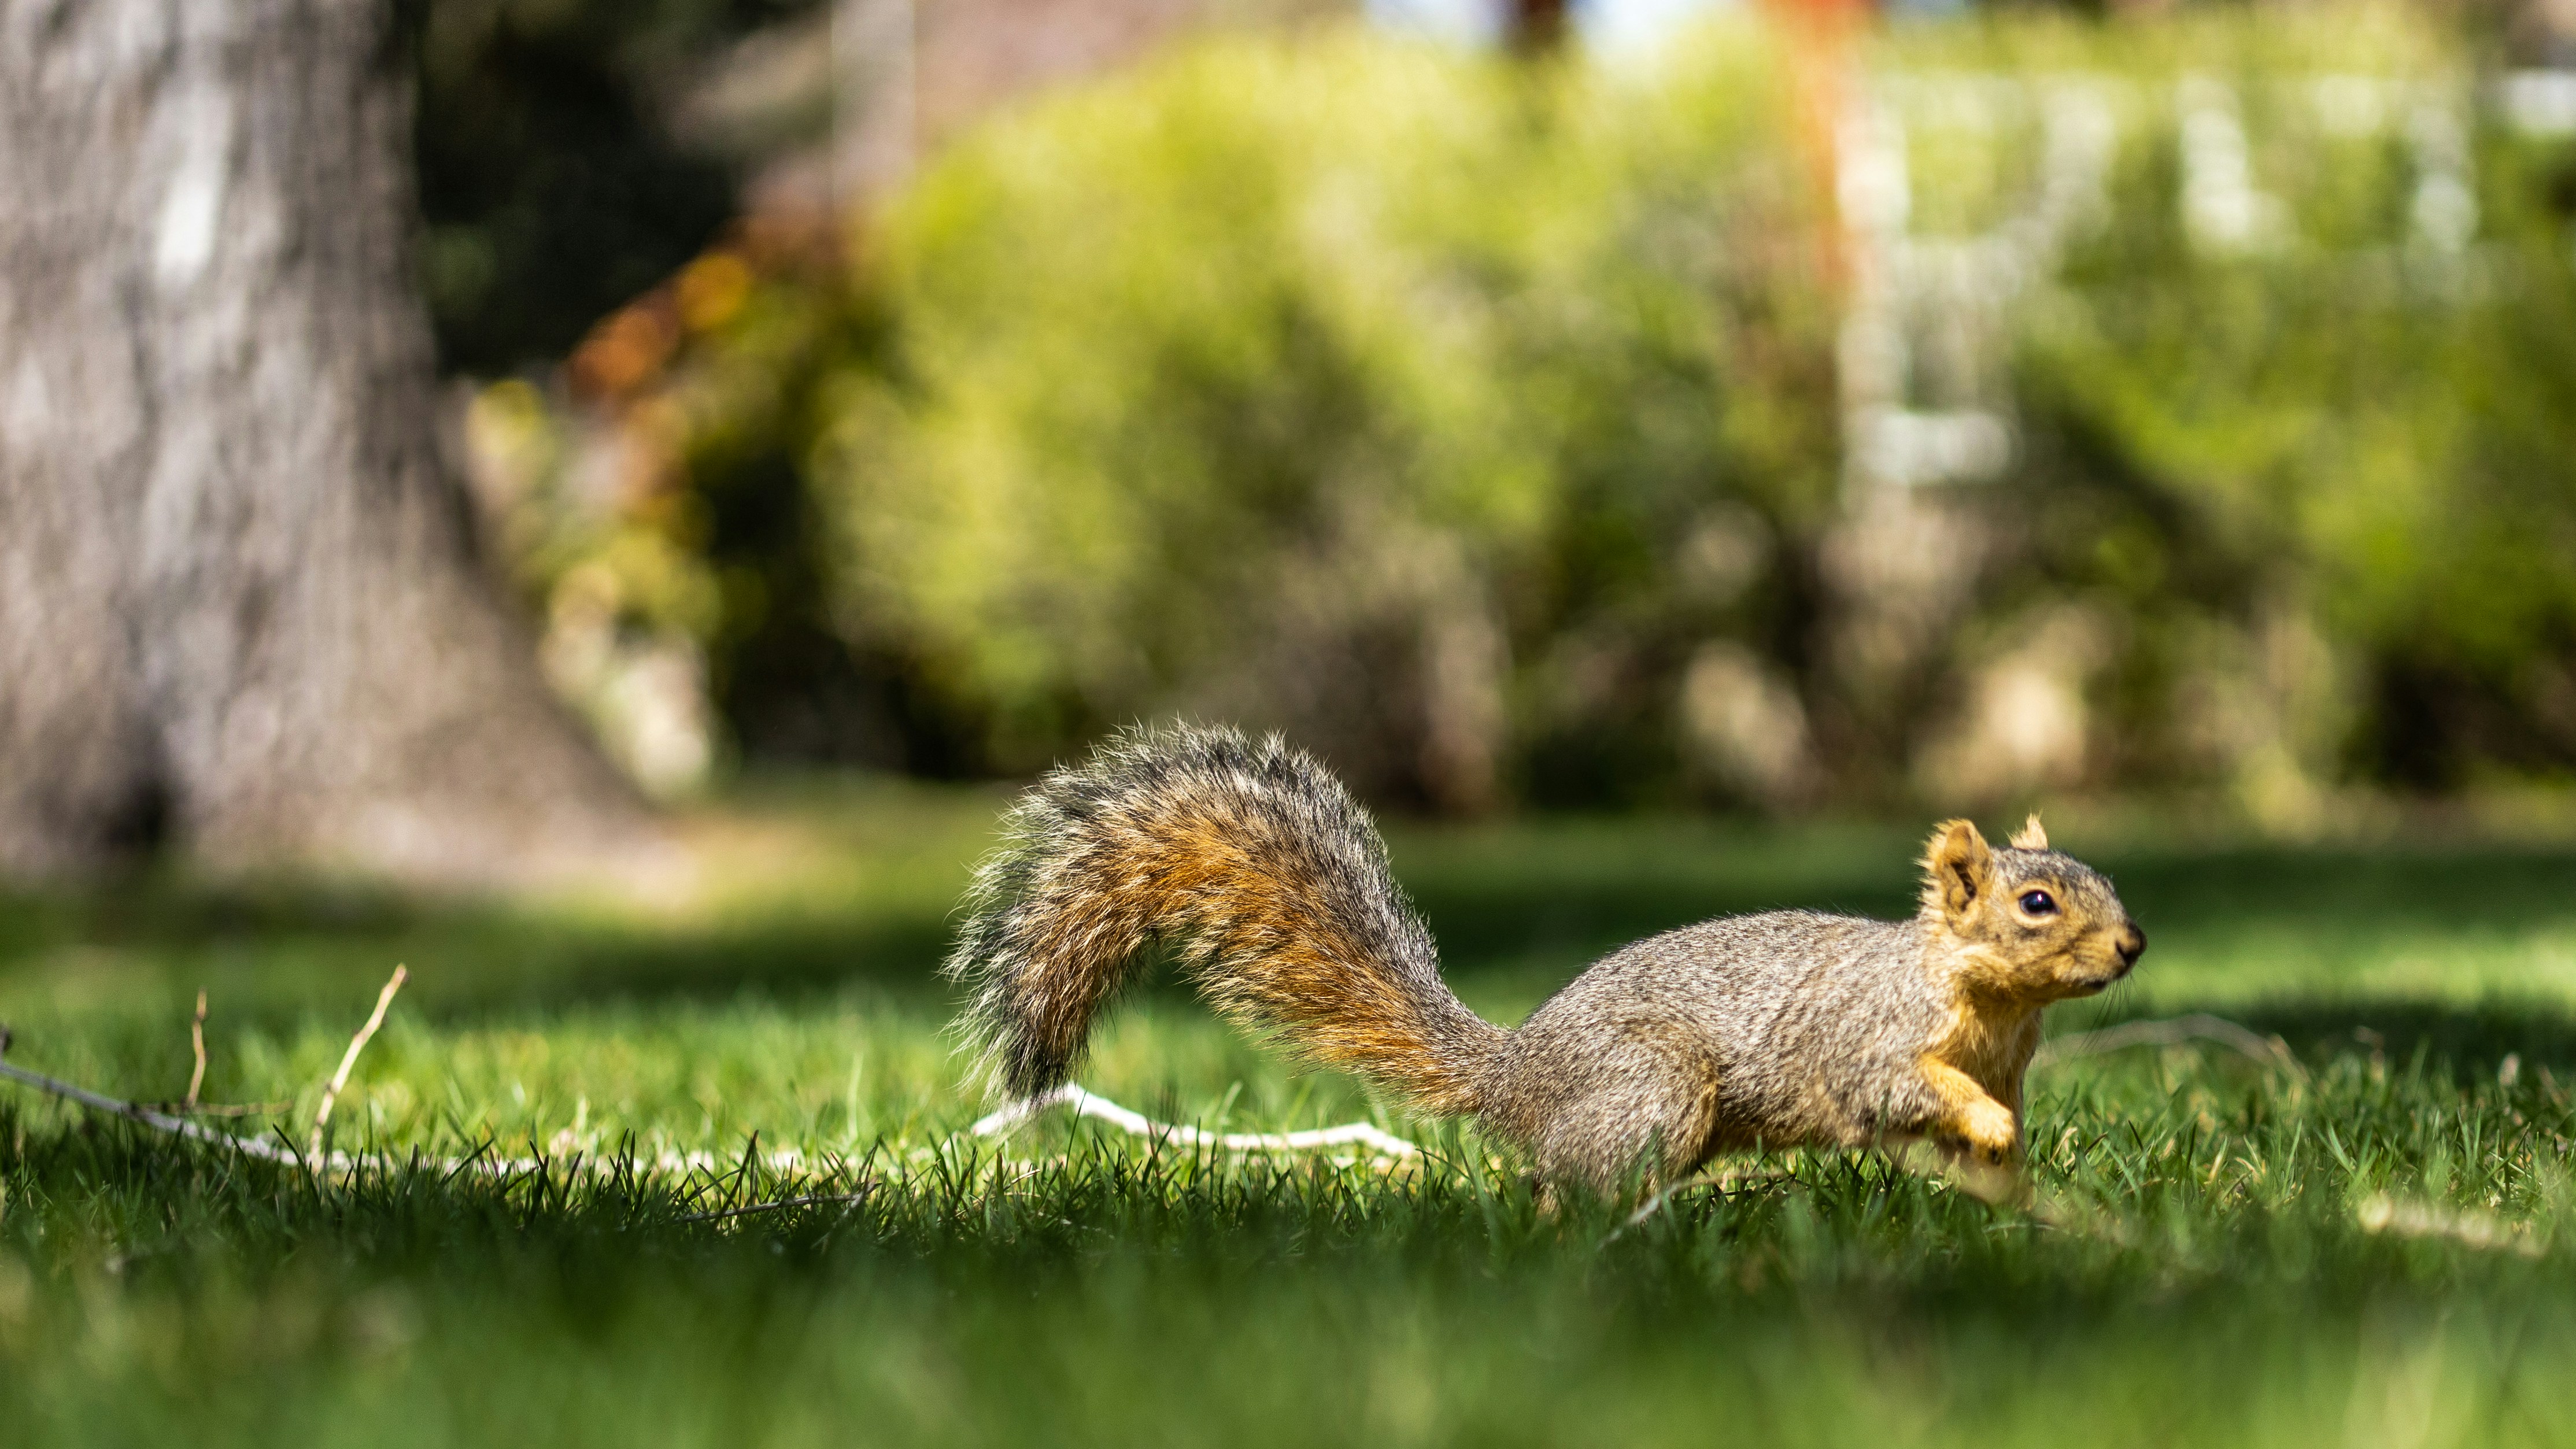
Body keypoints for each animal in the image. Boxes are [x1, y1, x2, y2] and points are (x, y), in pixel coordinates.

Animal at [946, 724, 2146, 1197]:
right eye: (2037, 902)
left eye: (2103, 881)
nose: (2134, 946)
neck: (1989, 1007)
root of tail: (1516, 1074)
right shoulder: (1867, 1041)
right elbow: (1897, 1085)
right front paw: (1982, 1130)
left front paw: (2007, 1173)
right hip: (1653, 1087)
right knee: (1562, 1186)